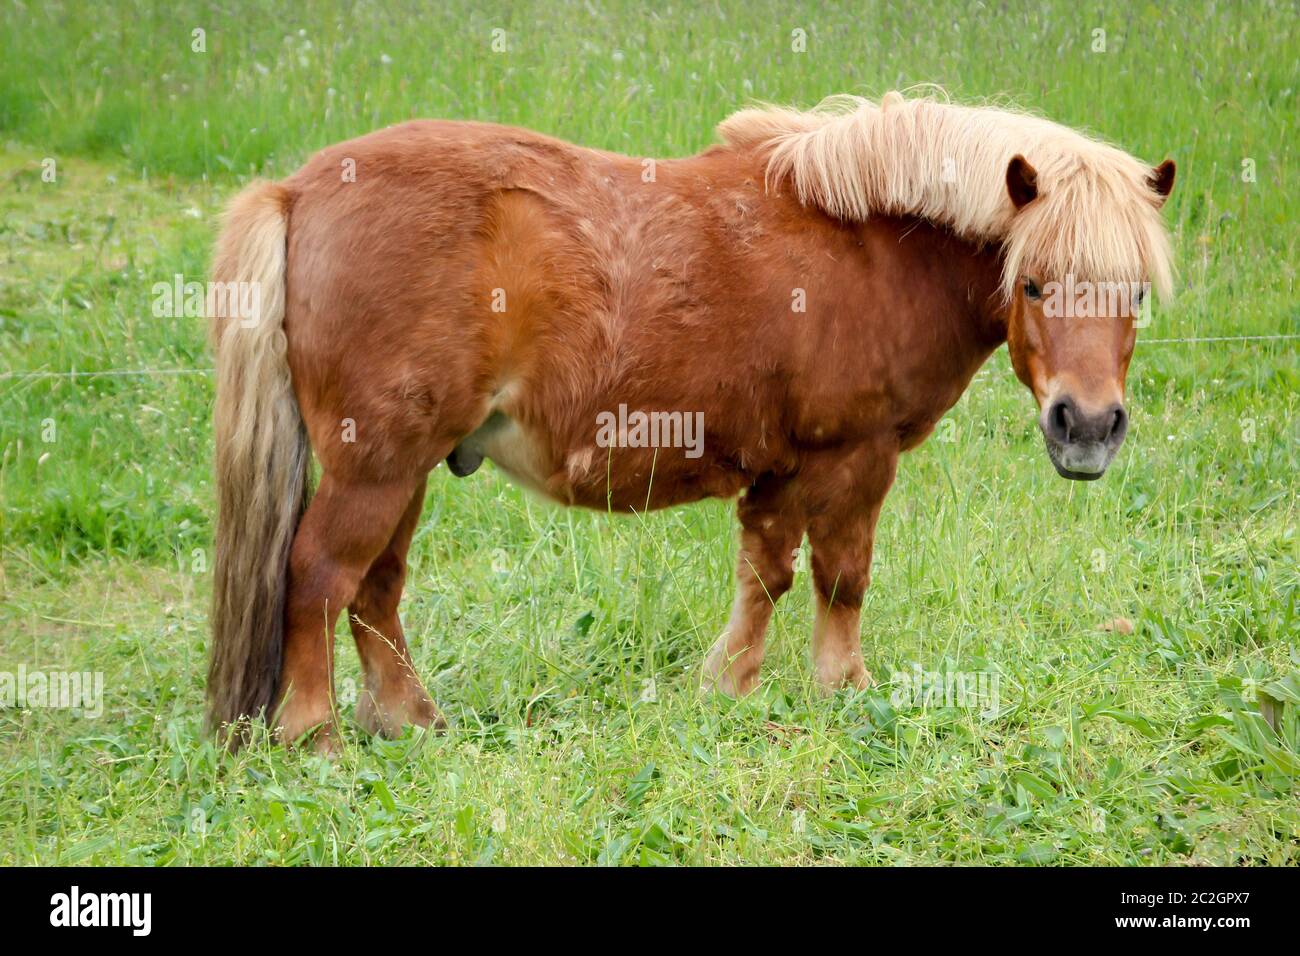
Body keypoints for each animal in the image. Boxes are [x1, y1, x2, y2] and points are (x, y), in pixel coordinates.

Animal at [204, 91, 1176, 749]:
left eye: (1133, 291)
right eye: (1032, 283)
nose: (1087, 427)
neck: (872, 243)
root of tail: (298, 191)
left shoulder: (780, 468)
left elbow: (765, 576)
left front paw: (729, 685)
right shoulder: (854, 458)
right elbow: (842, 578)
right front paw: (842, 687)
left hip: (403, 469)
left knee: (376, 589)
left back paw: (408, 718)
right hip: (377, 467)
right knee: (319, 578)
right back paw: (316, 735)